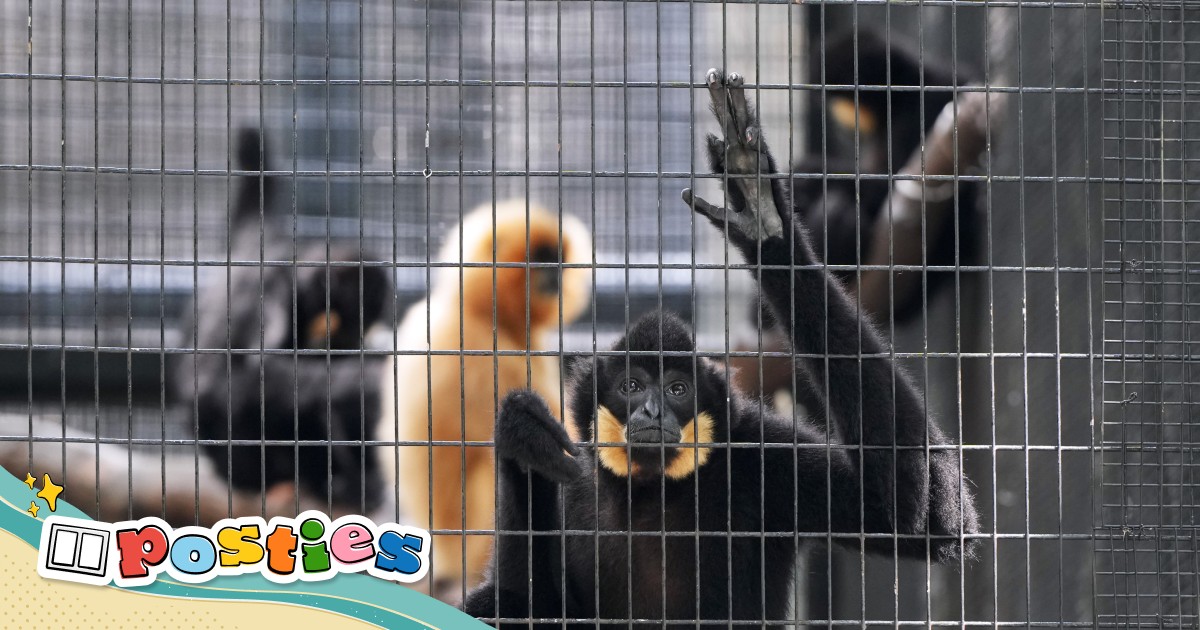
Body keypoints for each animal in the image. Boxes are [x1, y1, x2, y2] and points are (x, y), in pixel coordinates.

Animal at [172, 127, 389, 513]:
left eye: (353, 331)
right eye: (338, 322)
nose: (348, 340)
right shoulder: (268, 294)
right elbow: (223, 379)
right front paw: (370, 379)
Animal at [461, 69, 978, 628]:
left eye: (677, 388)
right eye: (631, 385)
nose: (652, 409)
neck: (656, 488)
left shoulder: (768, 457)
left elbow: (919, 517)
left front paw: (766, 225)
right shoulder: (576, 471)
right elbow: (528, 595)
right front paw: (521, 438)